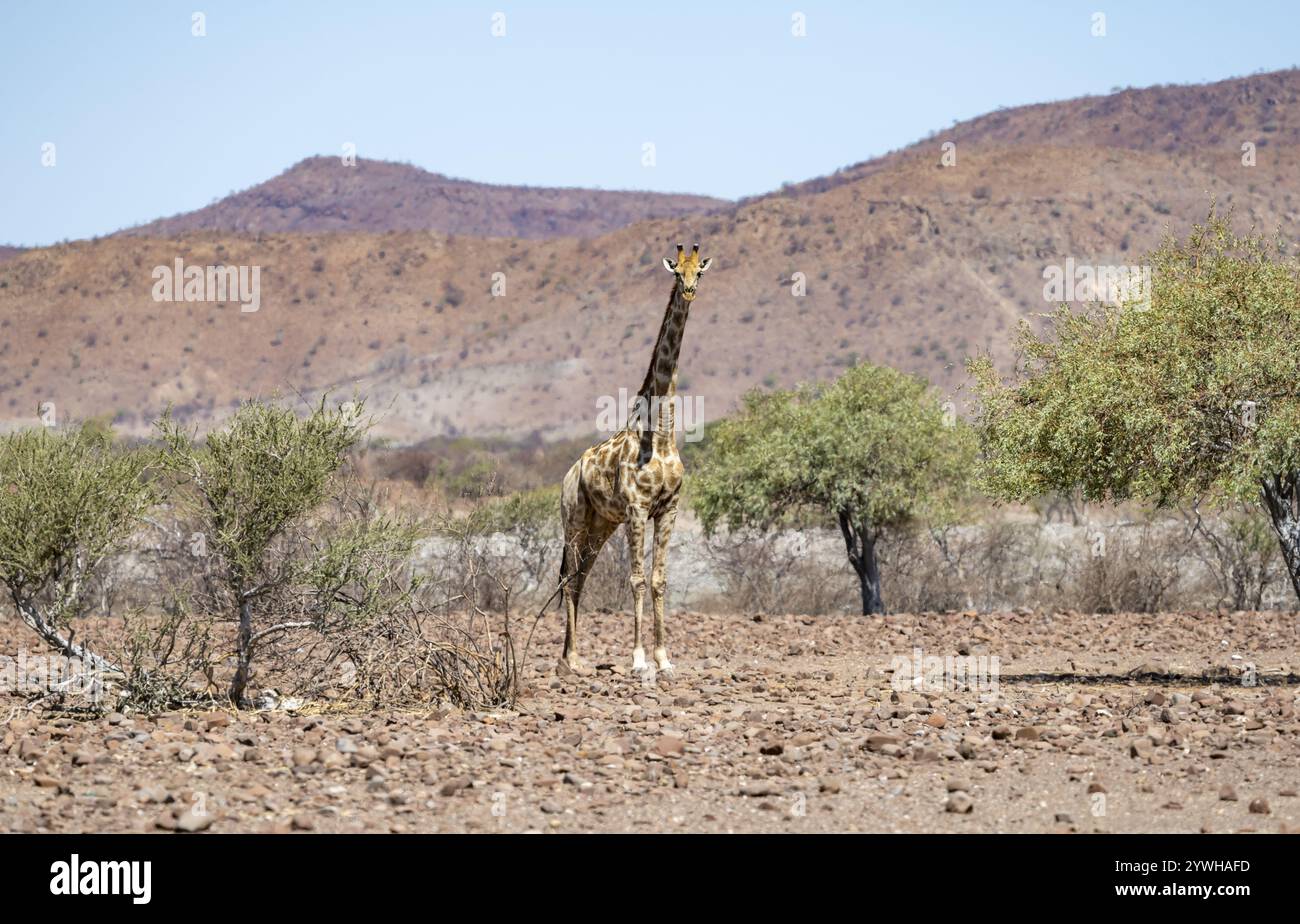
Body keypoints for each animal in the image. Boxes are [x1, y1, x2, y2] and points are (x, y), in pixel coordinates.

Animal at [556, 243, 713, 676]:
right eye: (676, 271)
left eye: (699, 271)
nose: (690, 291)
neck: (660, 435)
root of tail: (569, 473)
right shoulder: (638, 509)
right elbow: (637, 579)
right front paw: (640, 659)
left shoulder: (668, 508)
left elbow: (658, 579)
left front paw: (664, 658)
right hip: (574, 519)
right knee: (569, 579)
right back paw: (569, 660)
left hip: (602, 525)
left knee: (581, 577)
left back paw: (573, 656)